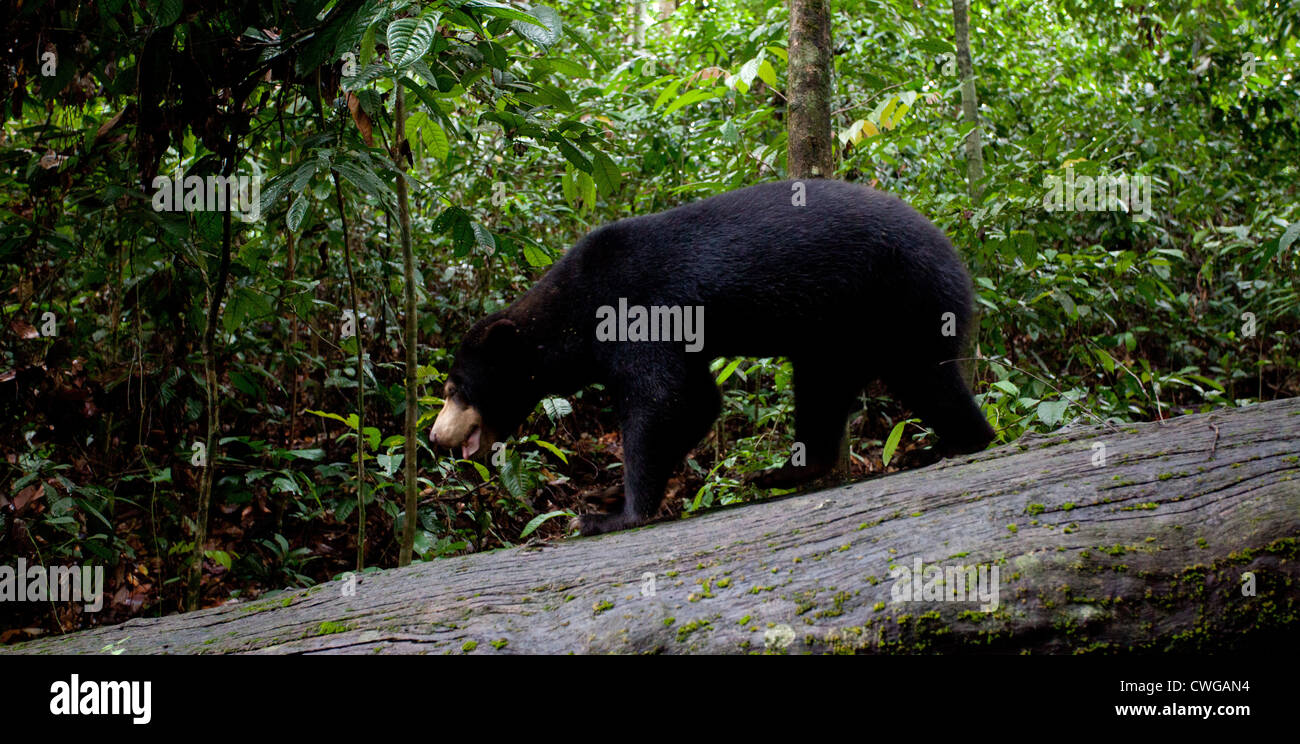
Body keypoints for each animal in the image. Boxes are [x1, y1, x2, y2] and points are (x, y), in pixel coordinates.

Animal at [431, 179, 995, 536]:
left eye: (455, 389)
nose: (436, 437)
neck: (570, 311)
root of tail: (955, 254)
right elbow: (696, 401)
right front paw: (606, 495)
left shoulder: (638, 310)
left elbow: (665, 399)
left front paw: (607, 515)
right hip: (838, 331)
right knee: (823, 389)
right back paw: (781, 474)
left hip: (900, 298)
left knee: (927, 377)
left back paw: (956, 443)